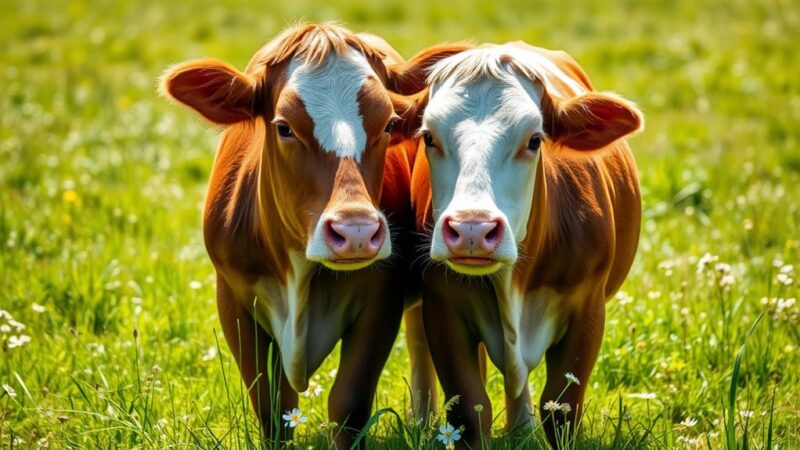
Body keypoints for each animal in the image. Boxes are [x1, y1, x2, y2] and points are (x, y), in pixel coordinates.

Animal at [161, 22, 432, 448]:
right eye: (284, 127)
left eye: (389, 124)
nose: (356, 230)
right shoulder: (233, 300)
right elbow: (272, 406)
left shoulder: (381, 298)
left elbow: (348, 403)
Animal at [393, 42, 643, 448]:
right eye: (428, 136)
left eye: (534, 140)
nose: (472, 228)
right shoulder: (442, 305)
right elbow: (469, 409)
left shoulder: (588, 309)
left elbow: (561, 409)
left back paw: (521, 428)